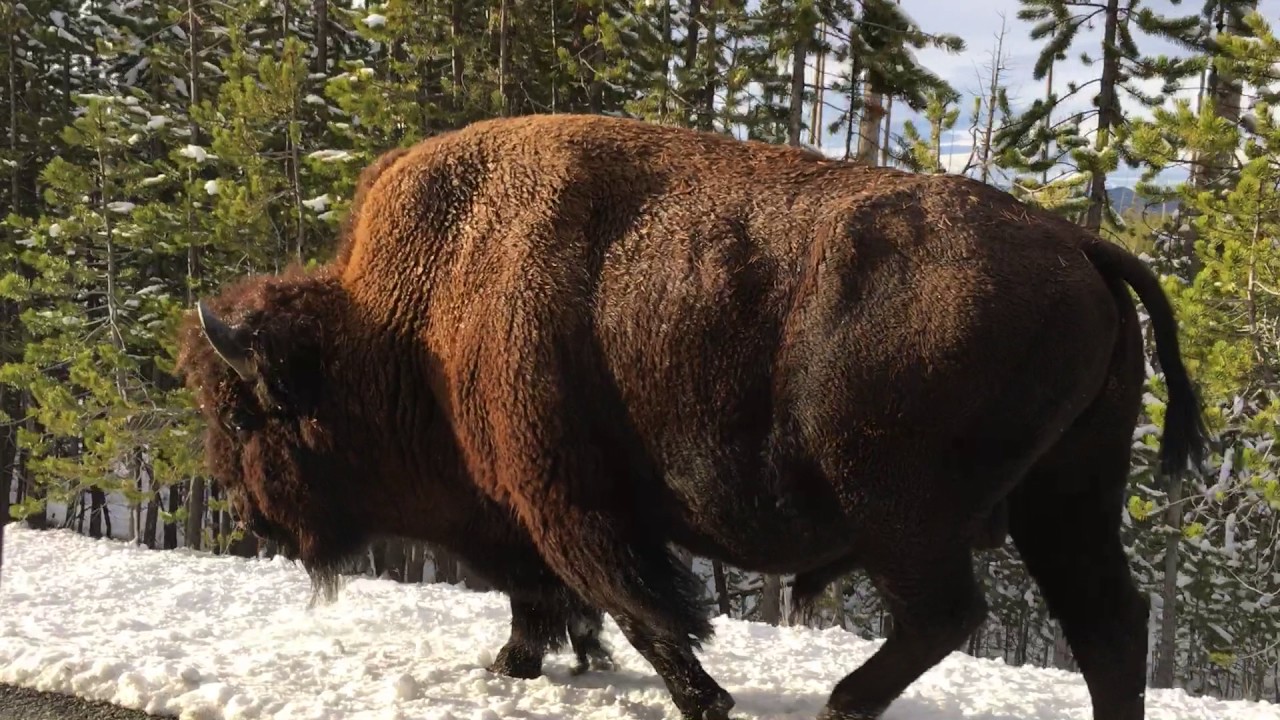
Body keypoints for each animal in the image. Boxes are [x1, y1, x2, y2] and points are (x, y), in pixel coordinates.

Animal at [177, 113, 1207, 720]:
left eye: (247, 417)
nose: (250, 518)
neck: (403, 320)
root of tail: (1080, 241)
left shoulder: (570, 501)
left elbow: (642, 609)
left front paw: (696, 697)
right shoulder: (529, 514)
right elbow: (554, 599)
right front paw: (519, 665)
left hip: (903, 509)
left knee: (949, 615)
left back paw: (839, 703)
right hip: (1065, 501)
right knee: (1109, 624)